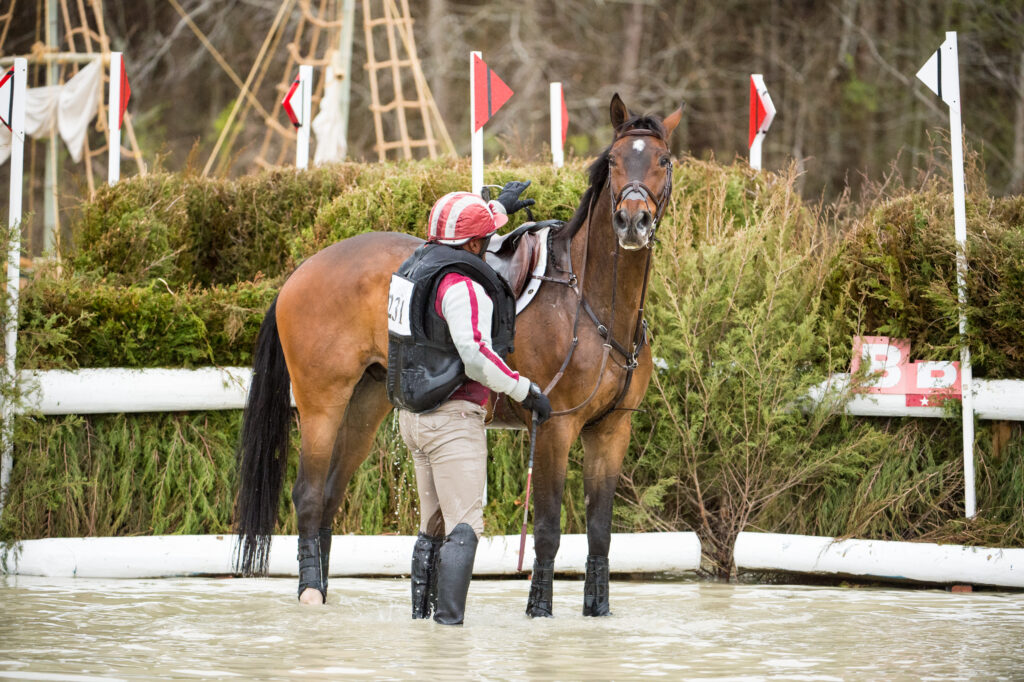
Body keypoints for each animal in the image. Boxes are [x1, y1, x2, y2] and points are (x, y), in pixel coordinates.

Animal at [234, 93, 683, 615]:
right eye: (613, 161)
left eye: (664, 160)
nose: (633, 221)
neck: (594, 301)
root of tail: (300, 272)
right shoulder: (554, 427)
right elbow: (548, 532)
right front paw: (539, 611)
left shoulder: (612, 431)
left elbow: (600, 534)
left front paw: (598, 612)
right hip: (322, 403)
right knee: (307, 496)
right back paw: (310, 593)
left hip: (366, 403)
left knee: (328, 496)